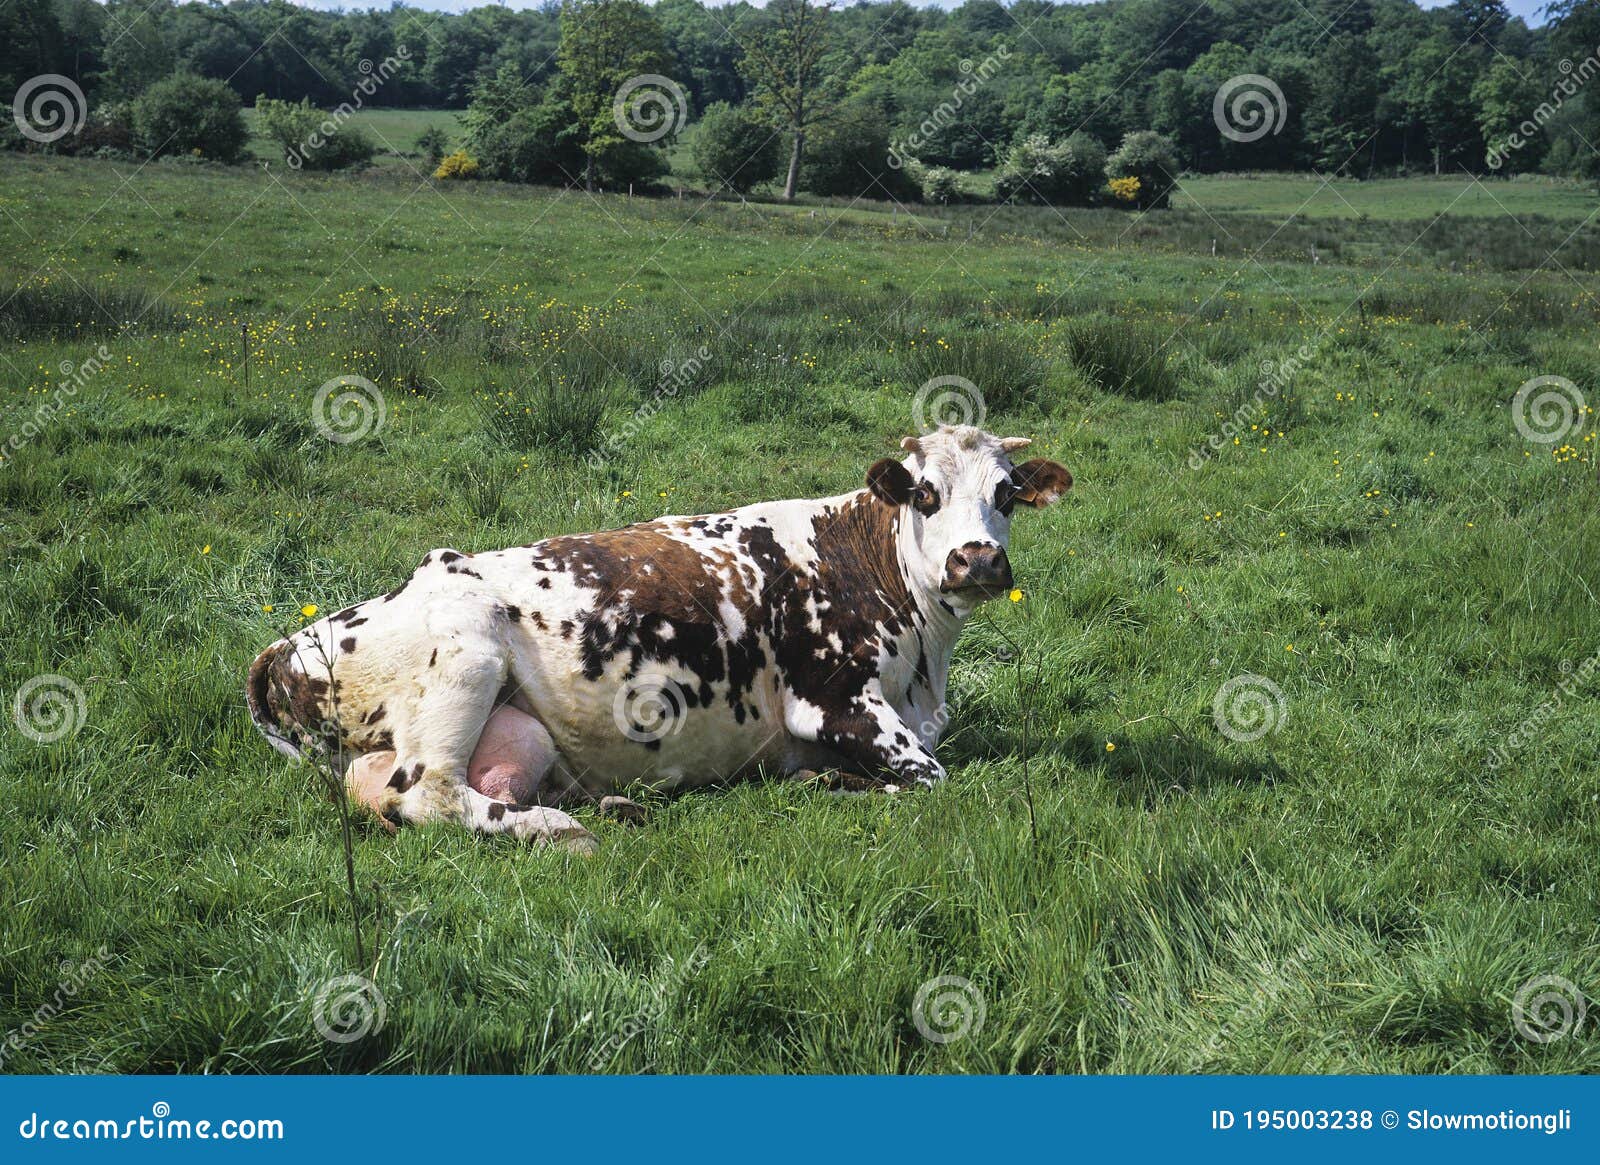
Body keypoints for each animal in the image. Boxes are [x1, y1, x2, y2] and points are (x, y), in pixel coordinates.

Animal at [246, 425, 1071, 852]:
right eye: (927, 493)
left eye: (1006, 494)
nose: (978, 560)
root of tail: (288, 643)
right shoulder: (833, 700)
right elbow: (933, 778)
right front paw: (831, 783)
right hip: (465, 653)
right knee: (427, 795)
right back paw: (557, 826)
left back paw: (612, 807)